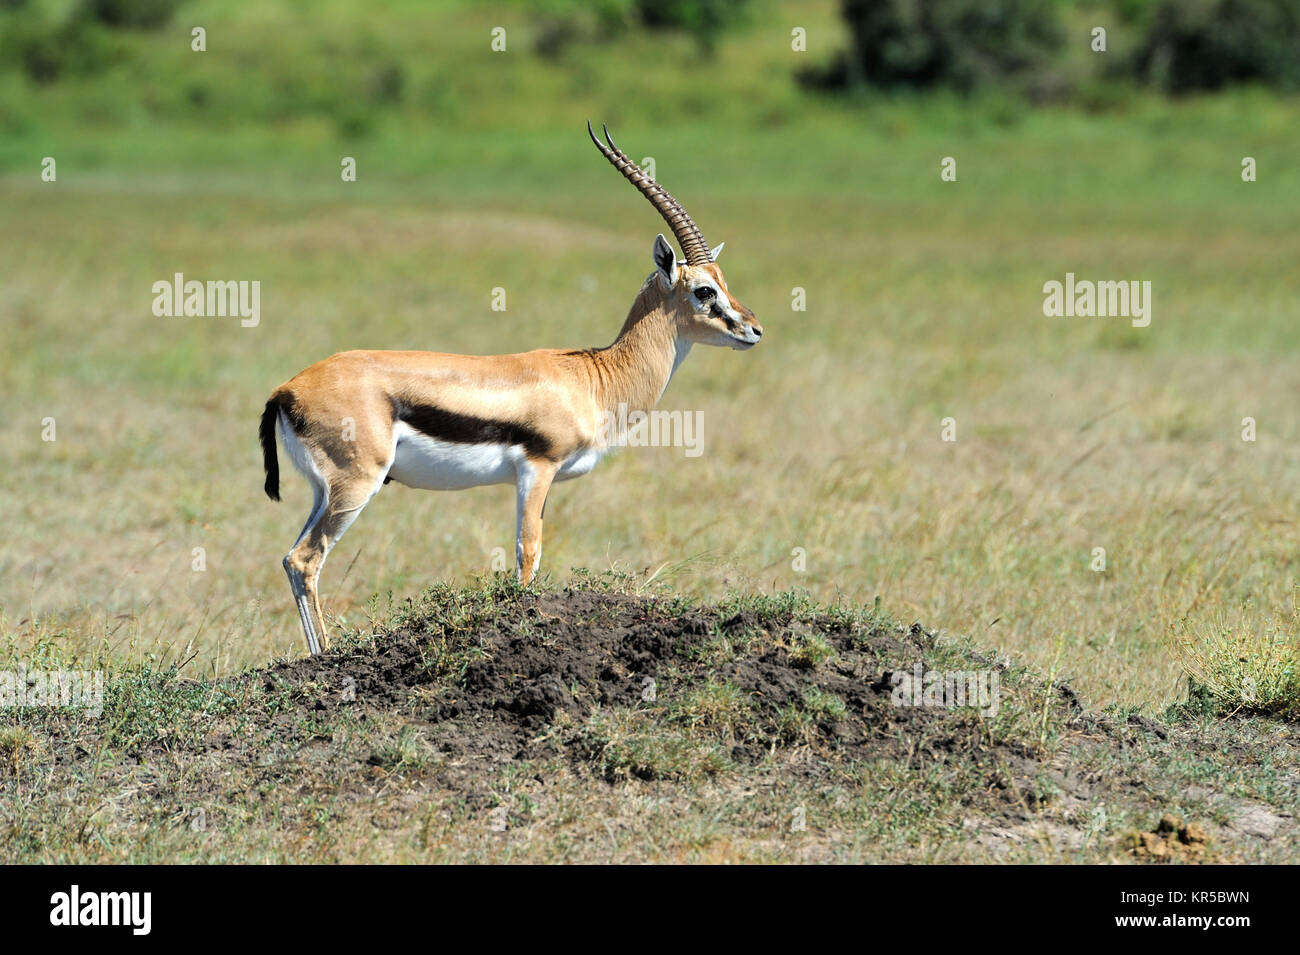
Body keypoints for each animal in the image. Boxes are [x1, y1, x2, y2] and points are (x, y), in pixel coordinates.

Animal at [259, 124, 763, 654]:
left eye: (725, 282)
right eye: (705, 290)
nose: (754, 330)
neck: (593, 378)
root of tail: (286, 389)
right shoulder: (536, 469)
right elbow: (528, 553)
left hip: (324, 490)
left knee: (292, 559)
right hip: (356, 484)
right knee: (305, 559)